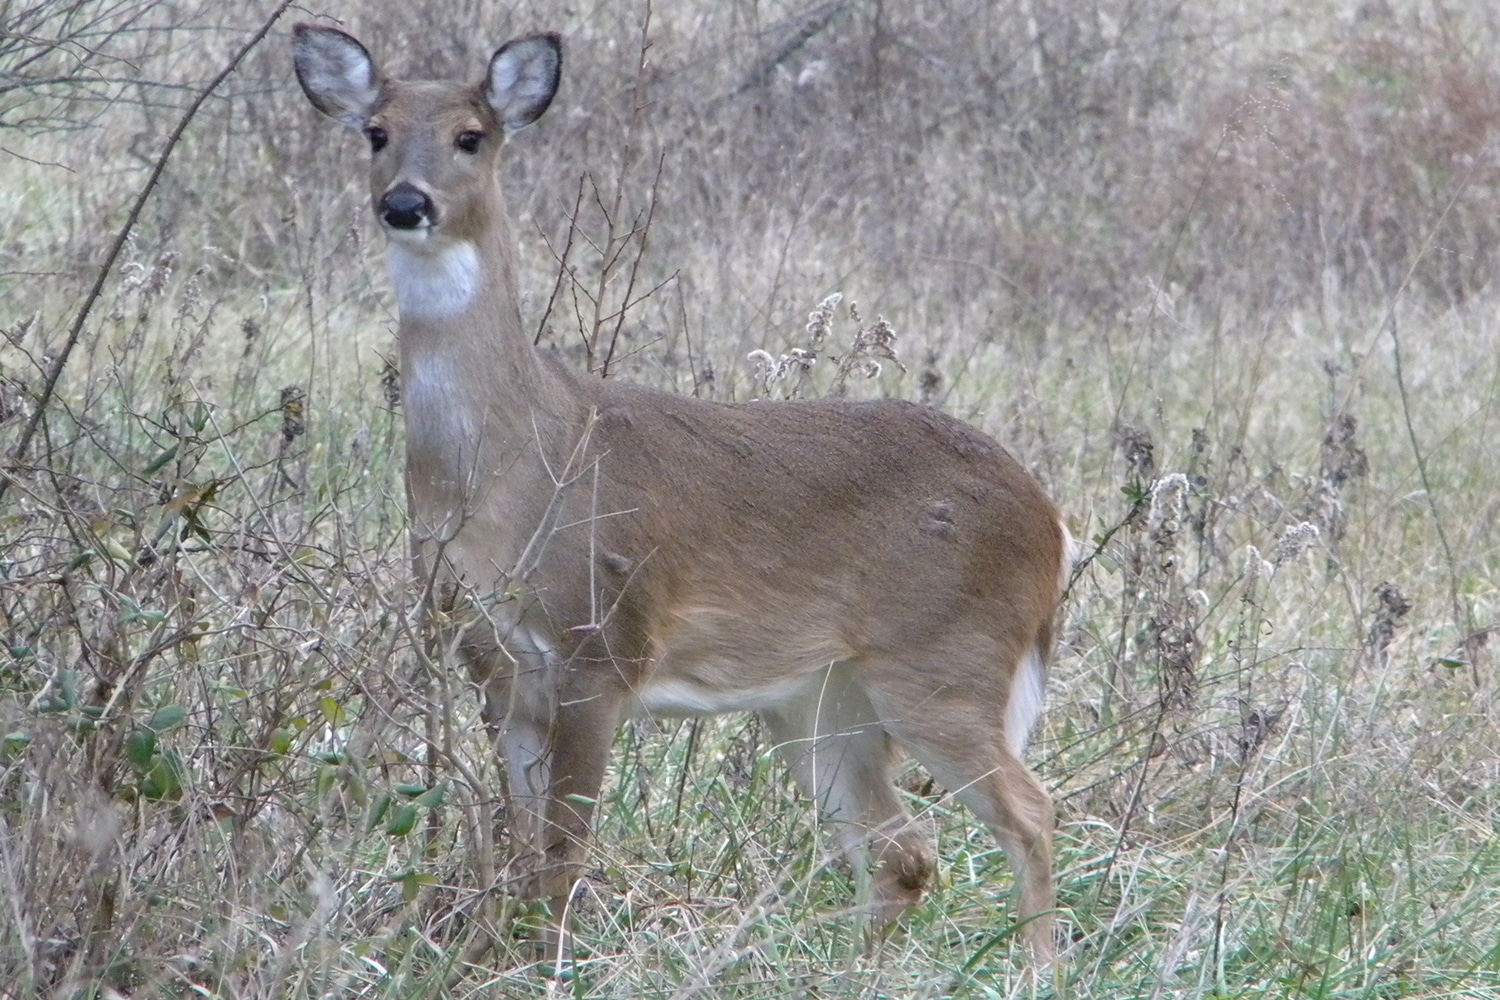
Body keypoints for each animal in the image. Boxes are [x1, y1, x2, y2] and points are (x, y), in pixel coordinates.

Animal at [292, 22, 1071, 967]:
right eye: (376, 131)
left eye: (470, 136)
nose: (405, 203)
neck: (517, 465)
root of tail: (1051, 520)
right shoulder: (492, 661)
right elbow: (521, 847)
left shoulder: (601, 647)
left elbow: (563, 856)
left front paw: (546, 967)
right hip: (820, 698)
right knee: (903, 851)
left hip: (946, 659)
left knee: (1029, 814)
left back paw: (1037, 967)